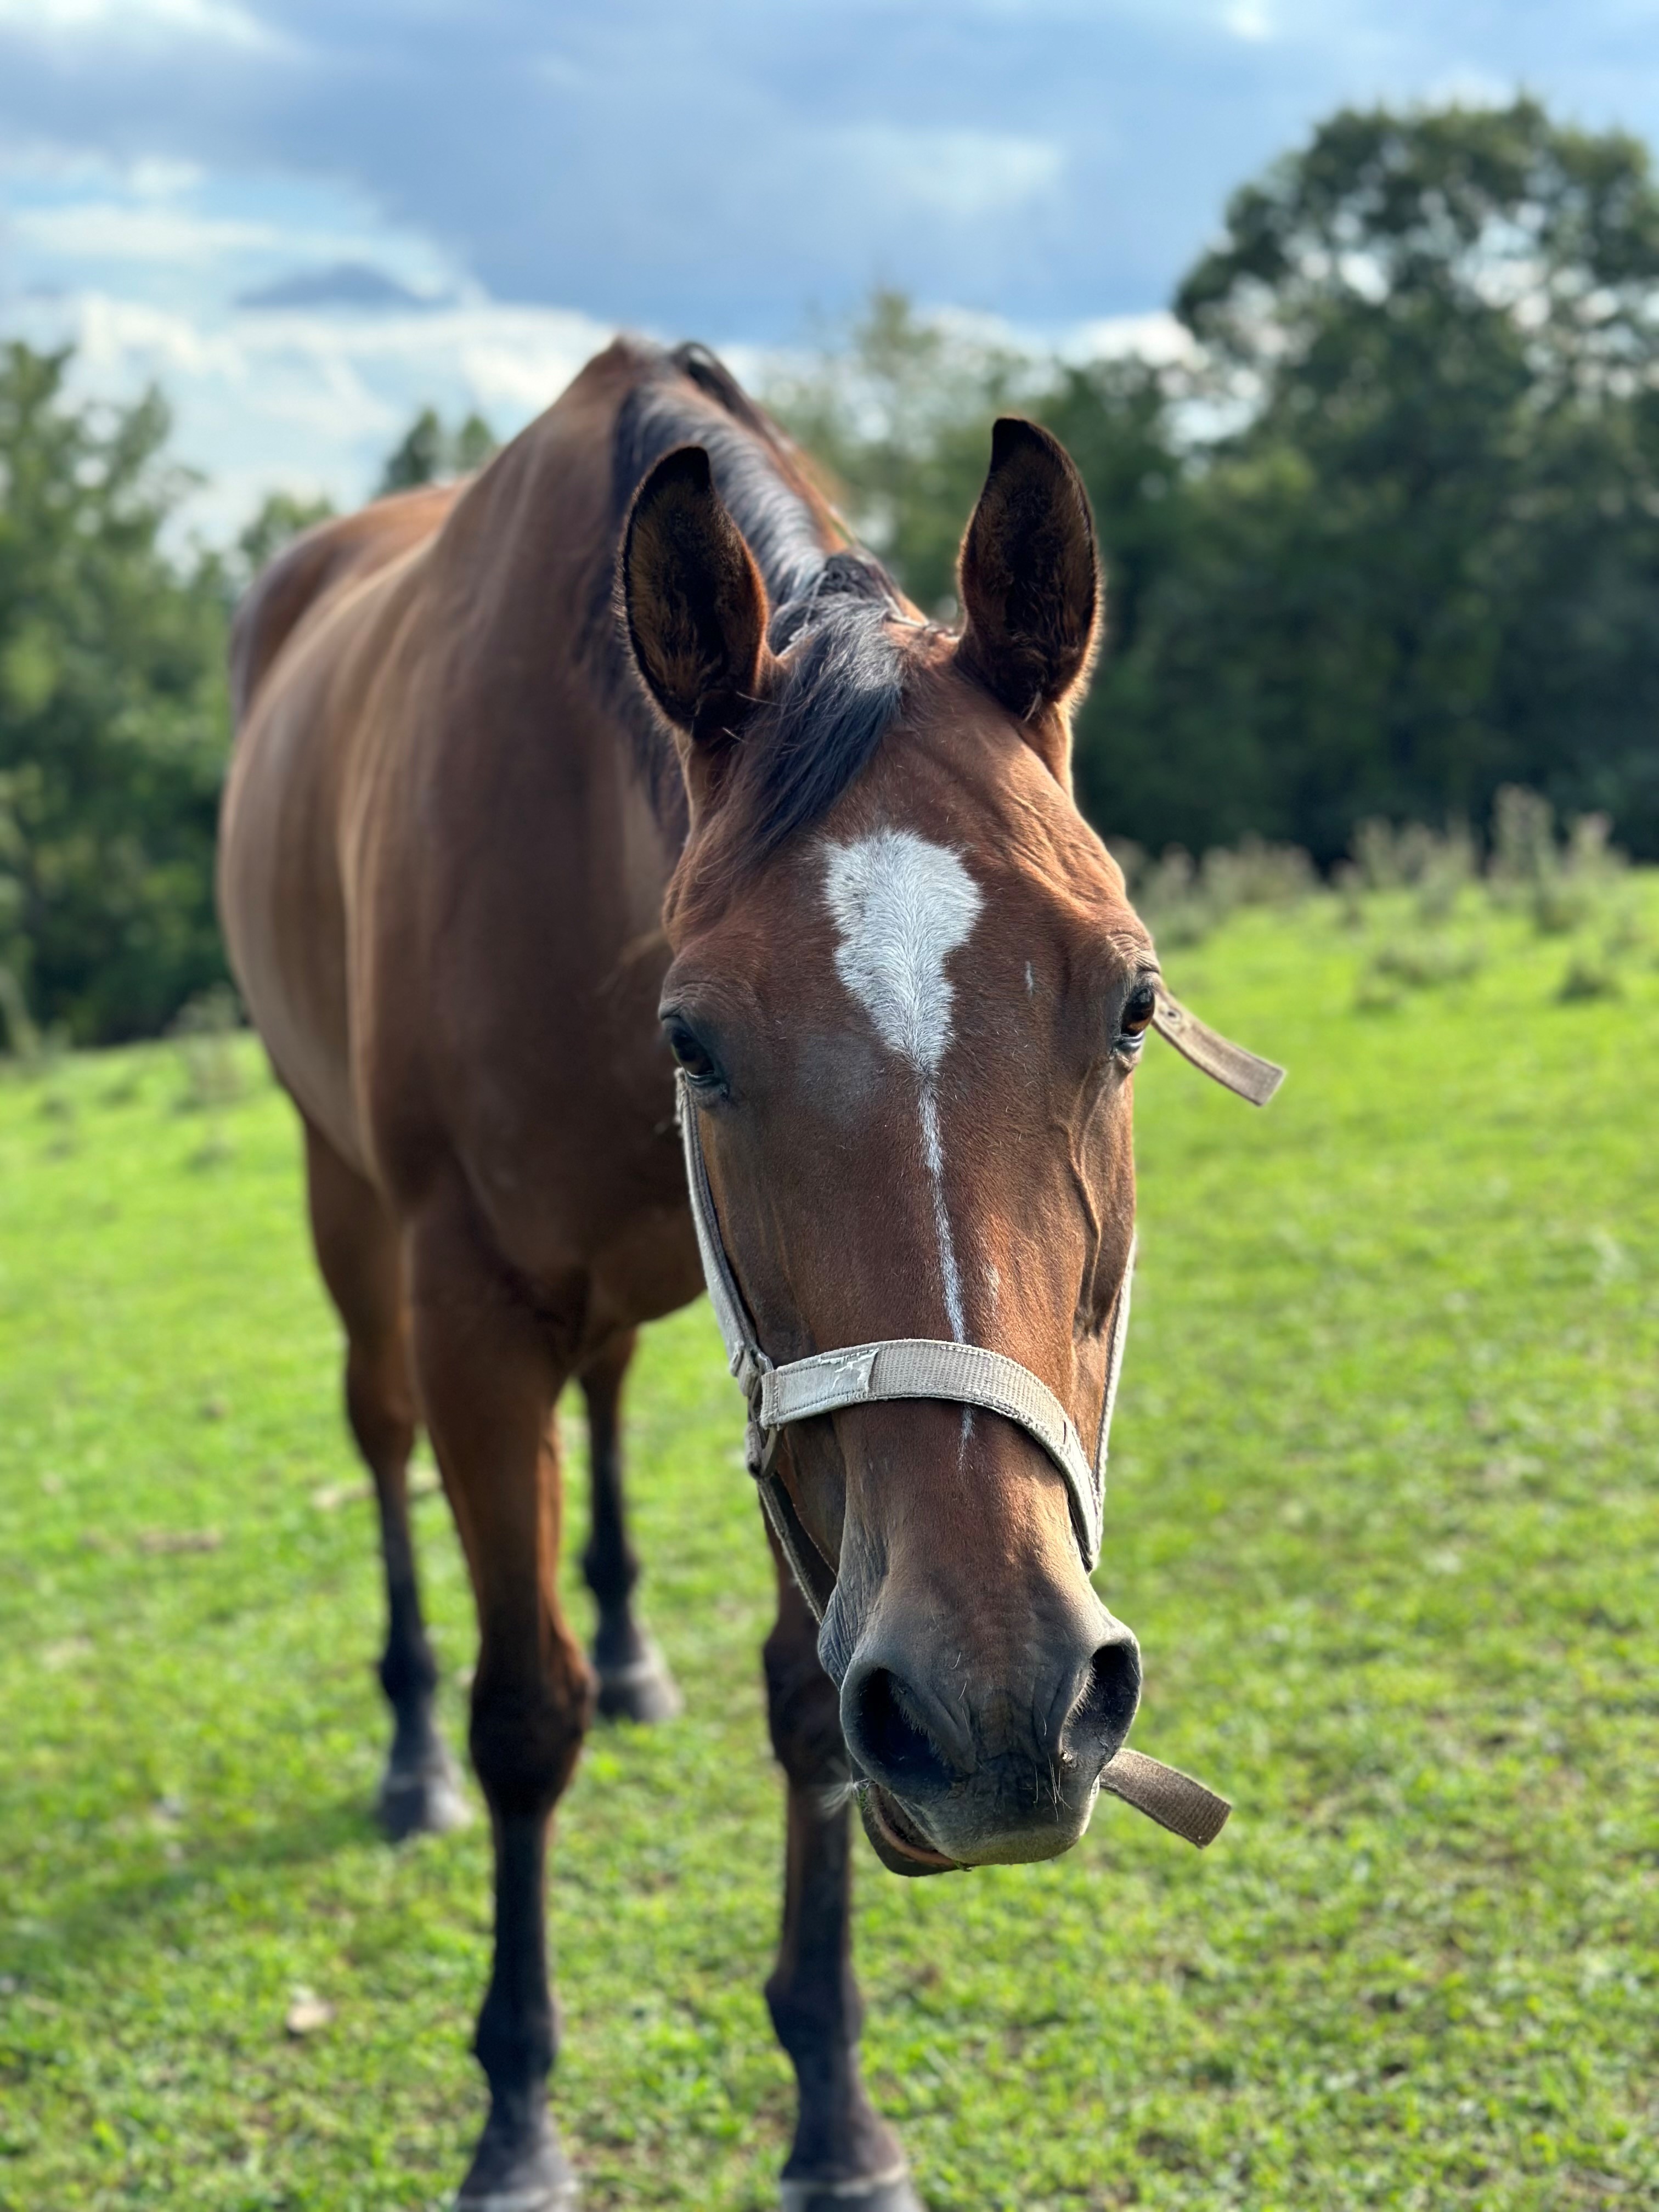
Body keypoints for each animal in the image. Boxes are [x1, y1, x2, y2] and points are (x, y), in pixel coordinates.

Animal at [219, 338, 1274, 2211]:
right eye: (693, 1041)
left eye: (1134, 1005)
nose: (1004, 1706)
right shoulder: (473, 1312)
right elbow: (524, 1717)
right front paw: (514, 2113)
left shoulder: (816, 1447)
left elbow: (807, 1717)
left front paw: (834, 2107)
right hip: (342, 1200)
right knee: (383, 1448)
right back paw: (406, 1754)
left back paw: (642, 1649)